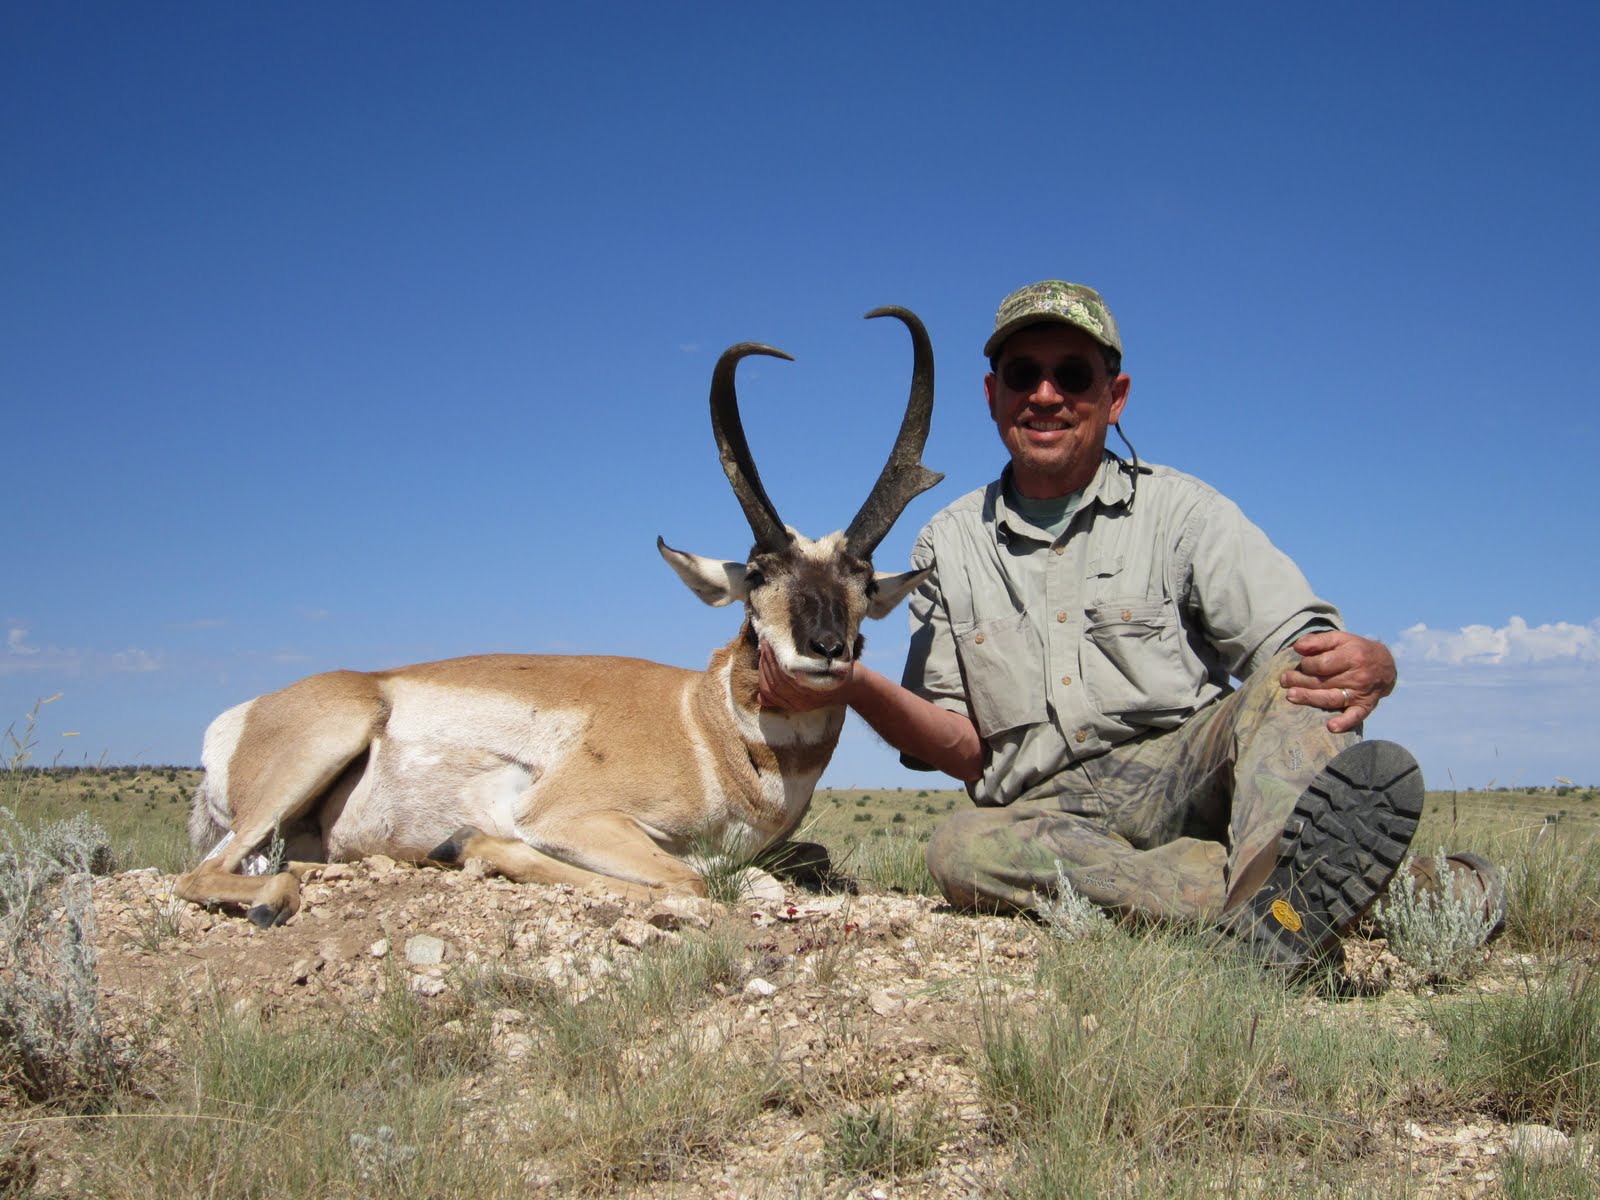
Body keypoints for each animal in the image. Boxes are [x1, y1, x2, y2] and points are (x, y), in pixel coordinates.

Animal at [176, 307, 941, 926]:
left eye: (862, 578)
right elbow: (691, 878)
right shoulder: (573, 816)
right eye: (756, 574)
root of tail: (239, 716)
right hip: (332, 734)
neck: (702, 719)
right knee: (203, 875)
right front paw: (473, 846)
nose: (826, 649)